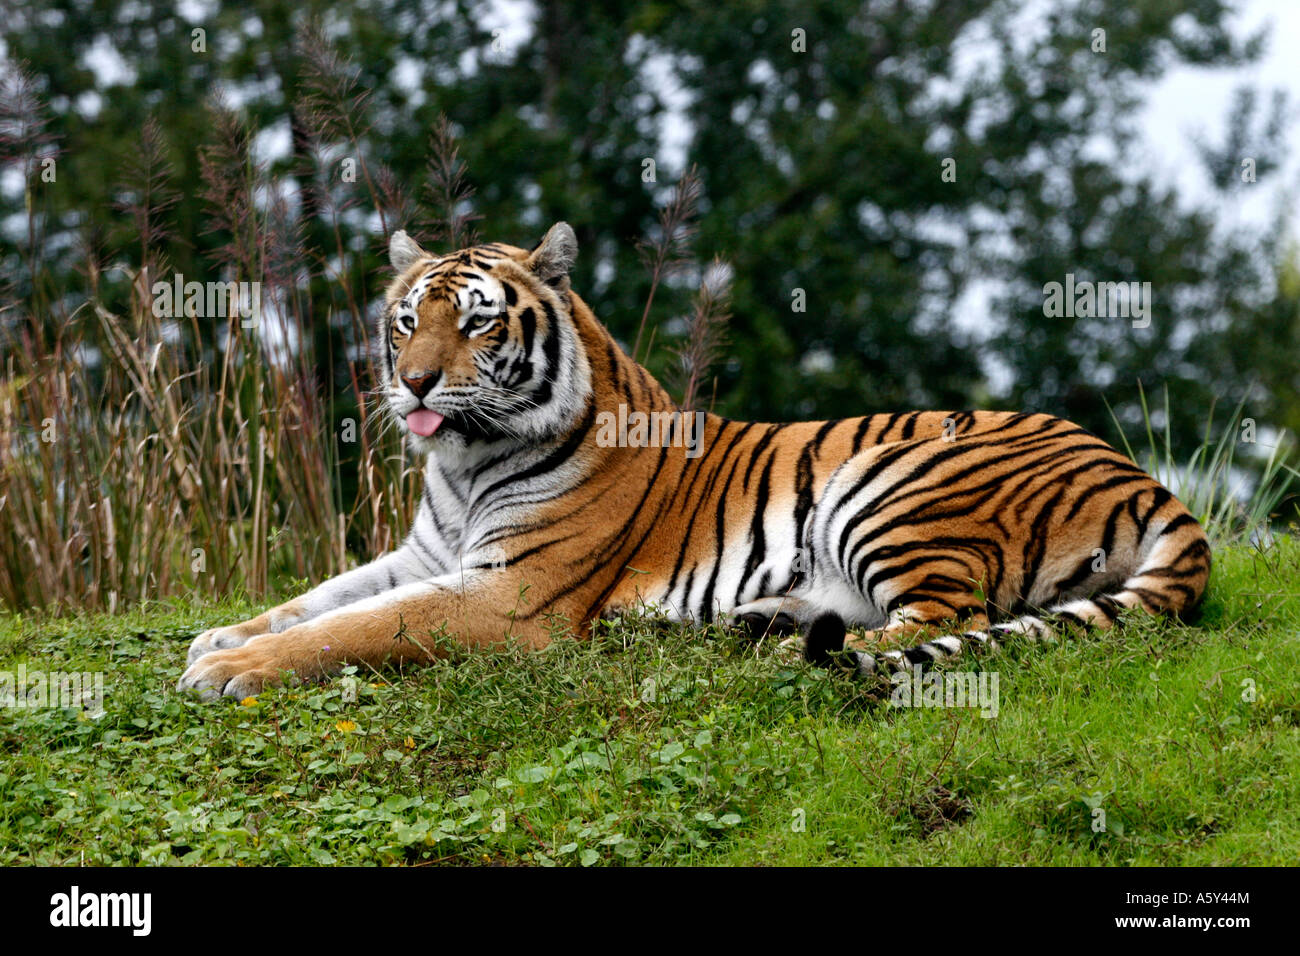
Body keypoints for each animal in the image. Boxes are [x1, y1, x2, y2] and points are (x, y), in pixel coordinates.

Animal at [178, 222, 1212, 699]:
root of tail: (1143, 478)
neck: (465, 465)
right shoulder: (427, 555)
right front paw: (220, 636)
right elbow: (324, 597)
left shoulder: (509, 593)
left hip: (888, 483)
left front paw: (234, 669)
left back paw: (784, 650)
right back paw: (750, 627)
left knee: (938, 619)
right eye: (404, 322)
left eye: (474, 322)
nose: (414, 382)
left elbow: (360, 627)